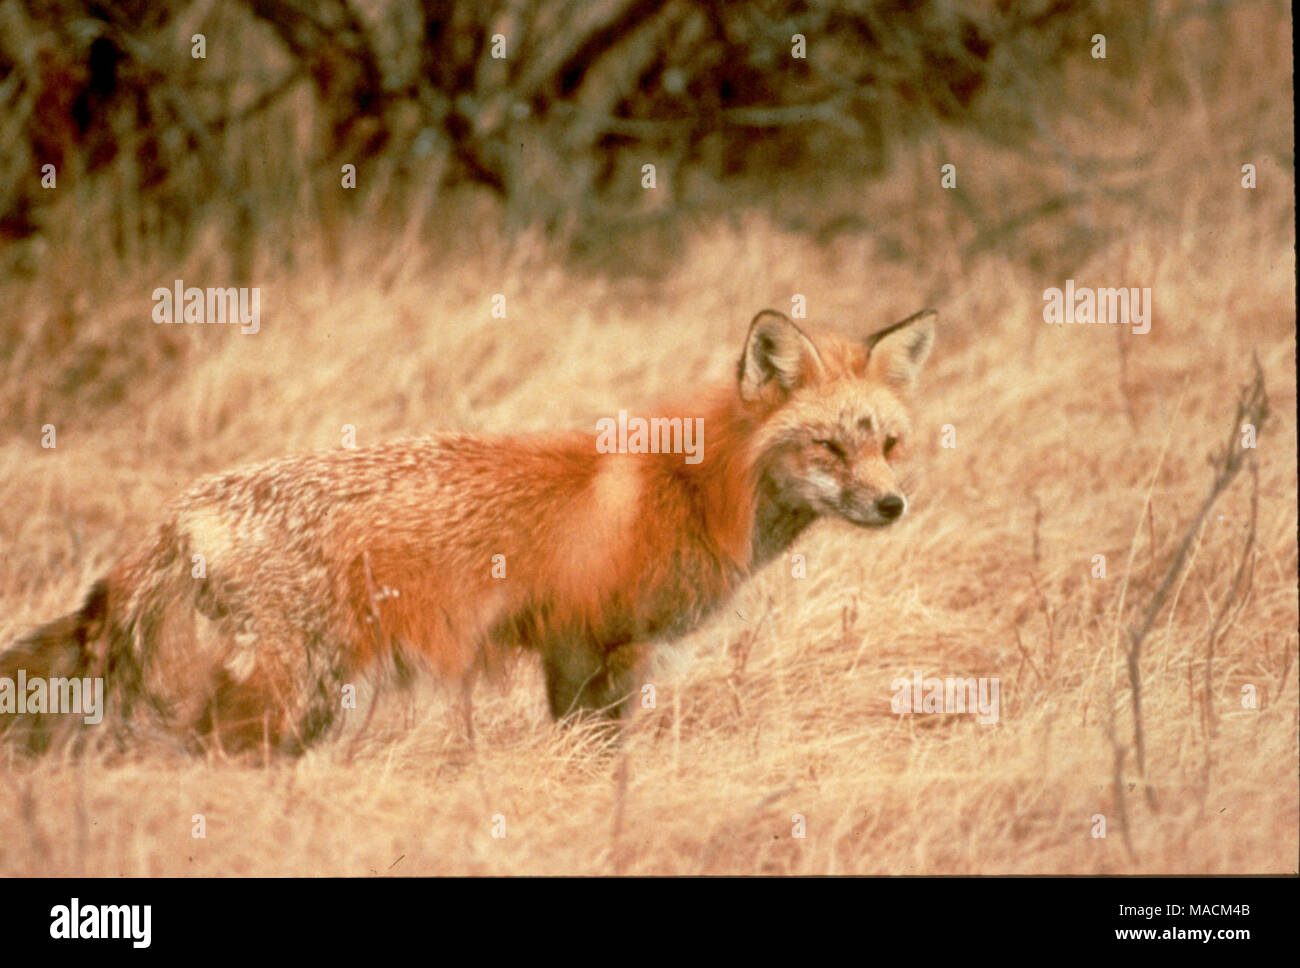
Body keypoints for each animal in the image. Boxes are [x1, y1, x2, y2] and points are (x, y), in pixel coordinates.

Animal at [0, 307, 936, 755]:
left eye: (888, 445)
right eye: (829, 446)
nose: (894, 507)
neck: (697, 485)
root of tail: (179, 509)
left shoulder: (591, 653)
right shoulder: (586, 645)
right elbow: (593, 755)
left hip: (311, 701)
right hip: (289, 692)